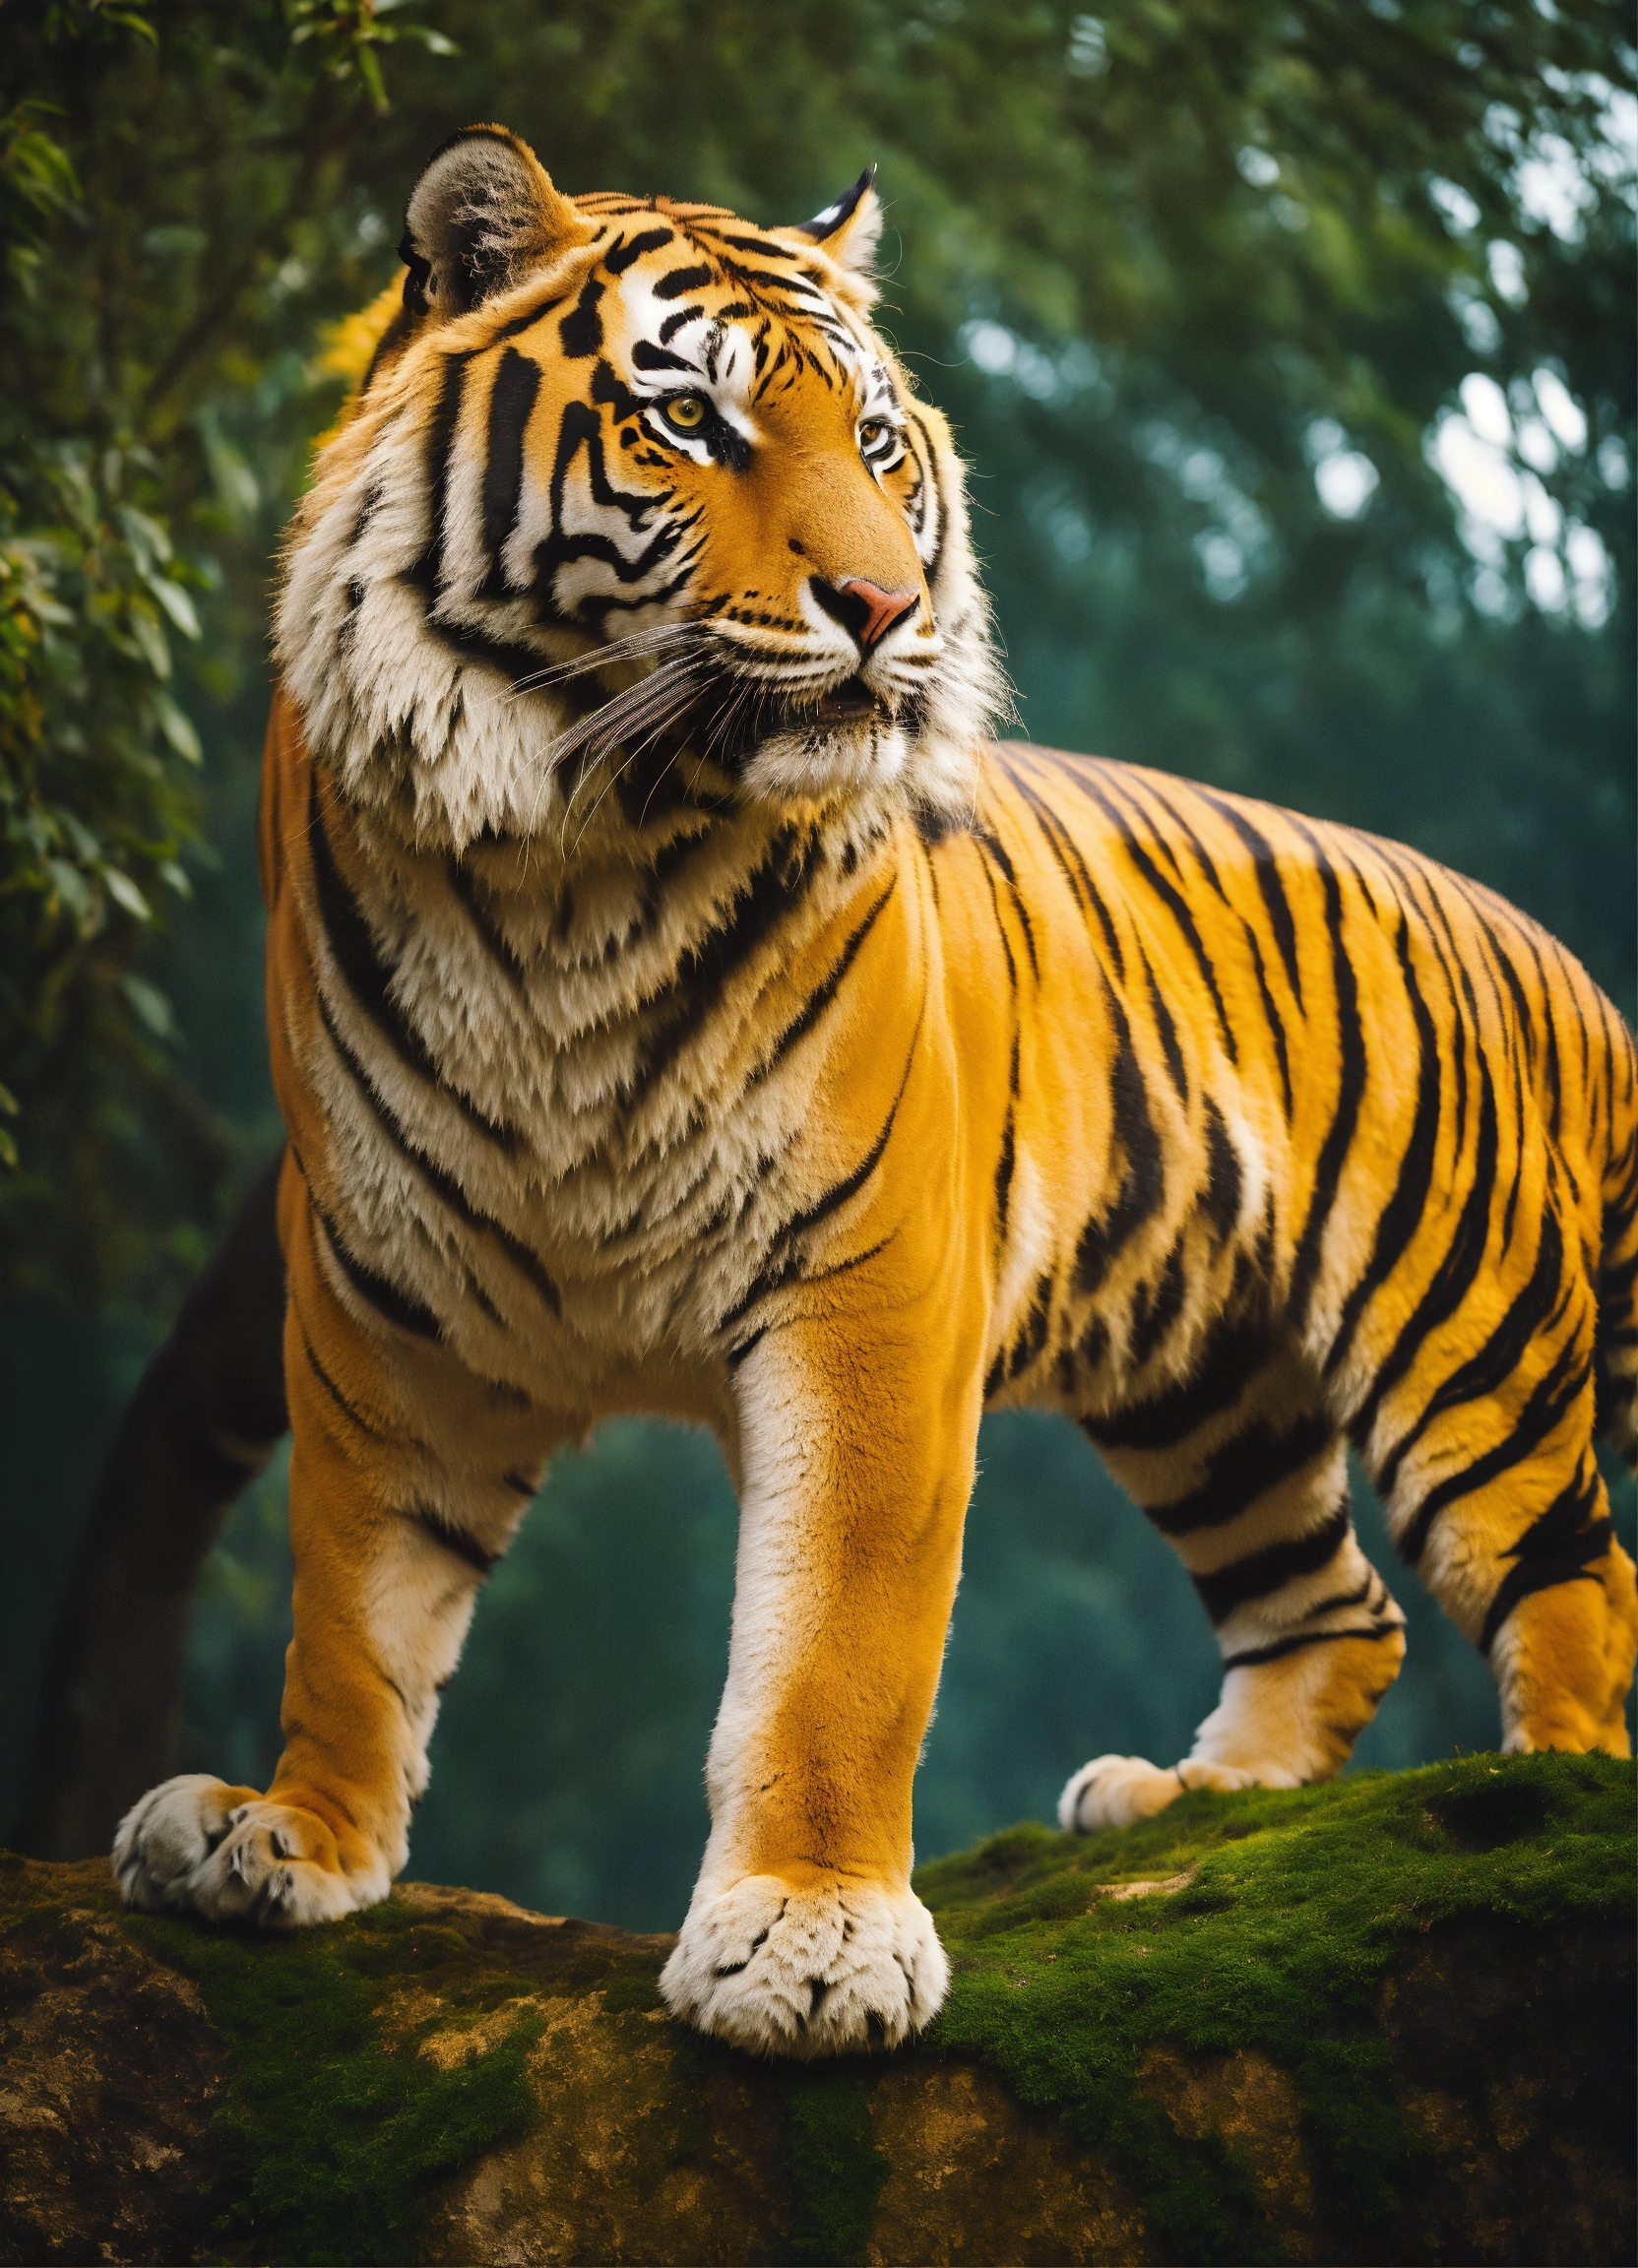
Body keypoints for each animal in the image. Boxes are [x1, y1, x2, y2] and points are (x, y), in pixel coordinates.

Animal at [108, 124, 1638, 2060]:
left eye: (880, 441)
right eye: (687, 419)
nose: (883, 609)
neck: (566, 867)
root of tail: (1561, 962)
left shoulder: (870, 1289)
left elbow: (837, 1636)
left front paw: (810, 1941)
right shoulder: (381, 1301)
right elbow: (352, 1597)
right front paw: (290, 1834)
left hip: (1465, 1346)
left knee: (1576, 1587)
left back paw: (1538, 1810)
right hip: (1207, 1389)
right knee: (1334, 1606)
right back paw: (1193, 1799)